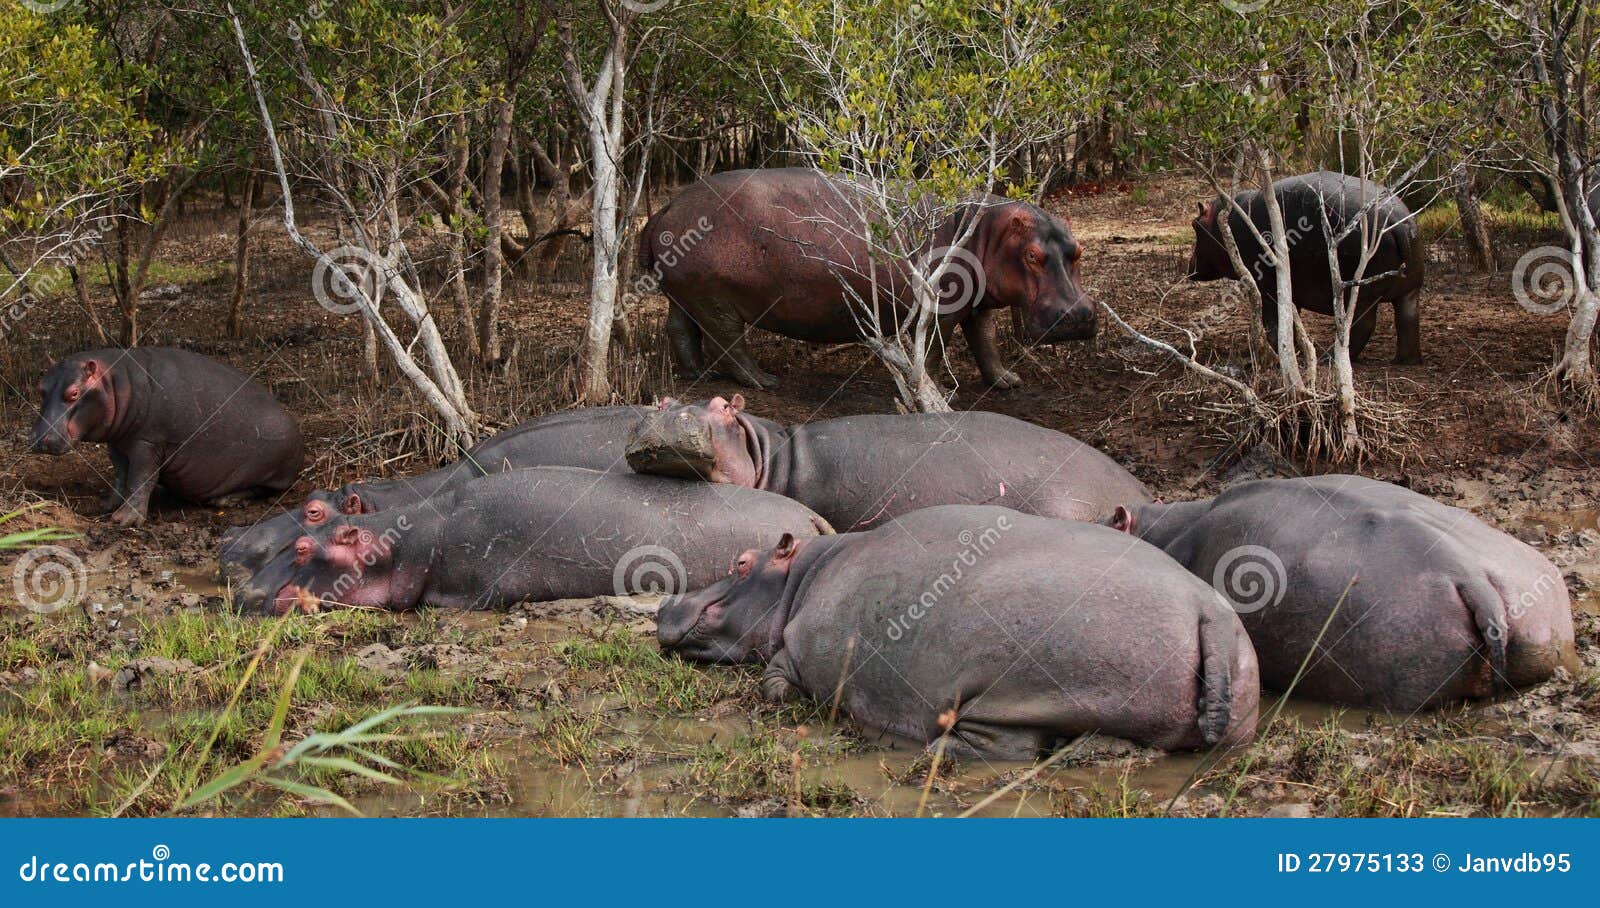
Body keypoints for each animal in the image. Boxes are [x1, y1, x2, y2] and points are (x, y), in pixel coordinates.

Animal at [29, 348, 303, 526]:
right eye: (40, 388)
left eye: (74, 393)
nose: (40, 439)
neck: (113, 382)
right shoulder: (118, 443)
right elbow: (120, 476)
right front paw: (107, 506)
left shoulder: (148, 442)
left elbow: (140, 479)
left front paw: (124, 520)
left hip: (268, 469)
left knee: (261, 489)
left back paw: (224, 501)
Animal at [640, 167, 1097, 389]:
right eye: (1033, 255)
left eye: (1078, 250)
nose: (1079, 314)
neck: (988, 232)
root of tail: (665, 209)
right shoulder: (942, 309)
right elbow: (934, 347)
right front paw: (931, 383)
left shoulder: (980, 305)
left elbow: (986, 342)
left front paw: (1007, 382)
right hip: (715, 298)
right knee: (729, 342)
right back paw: (765, 382)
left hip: (688, 294)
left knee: (679, 328)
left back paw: (699, 376)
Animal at [658, 505, 1259, 759]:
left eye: (740, 561)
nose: (666, 599)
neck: (801, 577)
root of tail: (1210, 613)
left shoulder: (799, 646)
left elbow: (774, 678)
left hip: (1010, 676)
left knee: (1005, 742)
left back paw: (936, 750)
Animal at [1188, 170, 1425, 363]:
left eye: (1195, 225)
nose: (1189, 268)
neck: (1220, 223)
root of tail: (1400, 223)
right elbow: (1292, 320)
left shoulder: (1268, 287)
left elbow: (1274, 321)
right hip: (1410, 290)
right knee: (1408, 321)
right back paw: (1405, 360)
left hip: (1361, 293)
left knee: (1361, 326)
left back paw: (1328, 358)